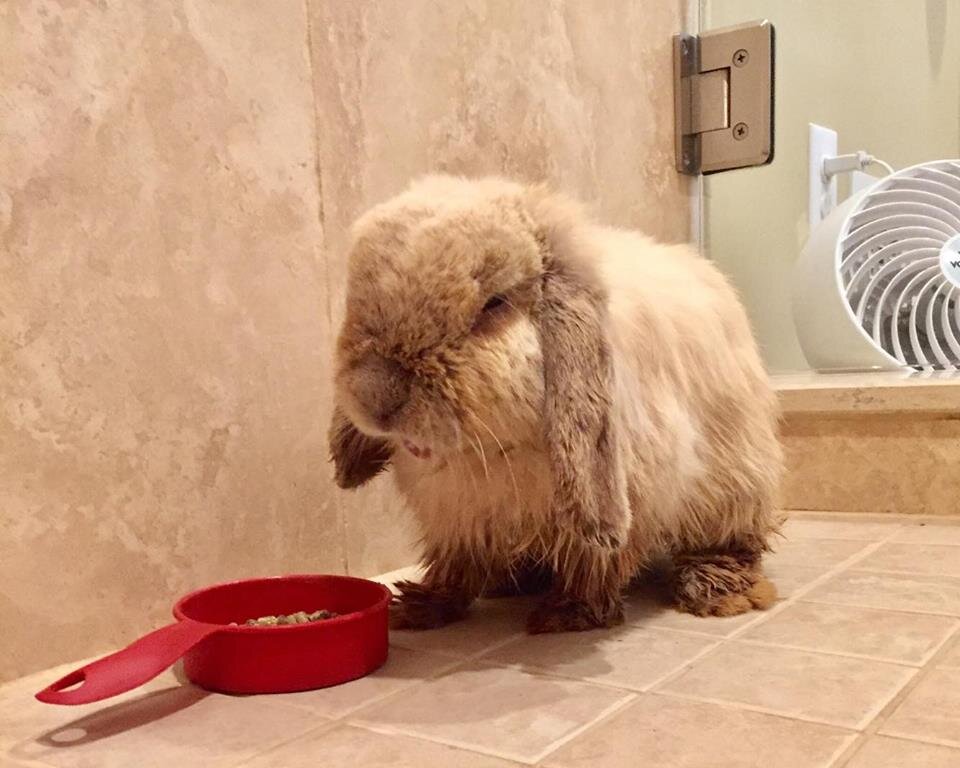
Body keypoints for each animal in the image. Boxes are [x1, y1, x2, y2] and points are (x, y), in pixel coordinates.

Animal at [328, 174, 782, 634]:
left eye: (494, 304)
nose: (374, 397)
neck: (494, 449)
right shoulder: (457, 517)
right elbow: (456, 565)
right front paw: (419, 607)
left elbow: (594, 562)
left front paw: (567, 613)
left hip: (732, 478)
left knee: (731, 540)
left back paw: (718, 591)